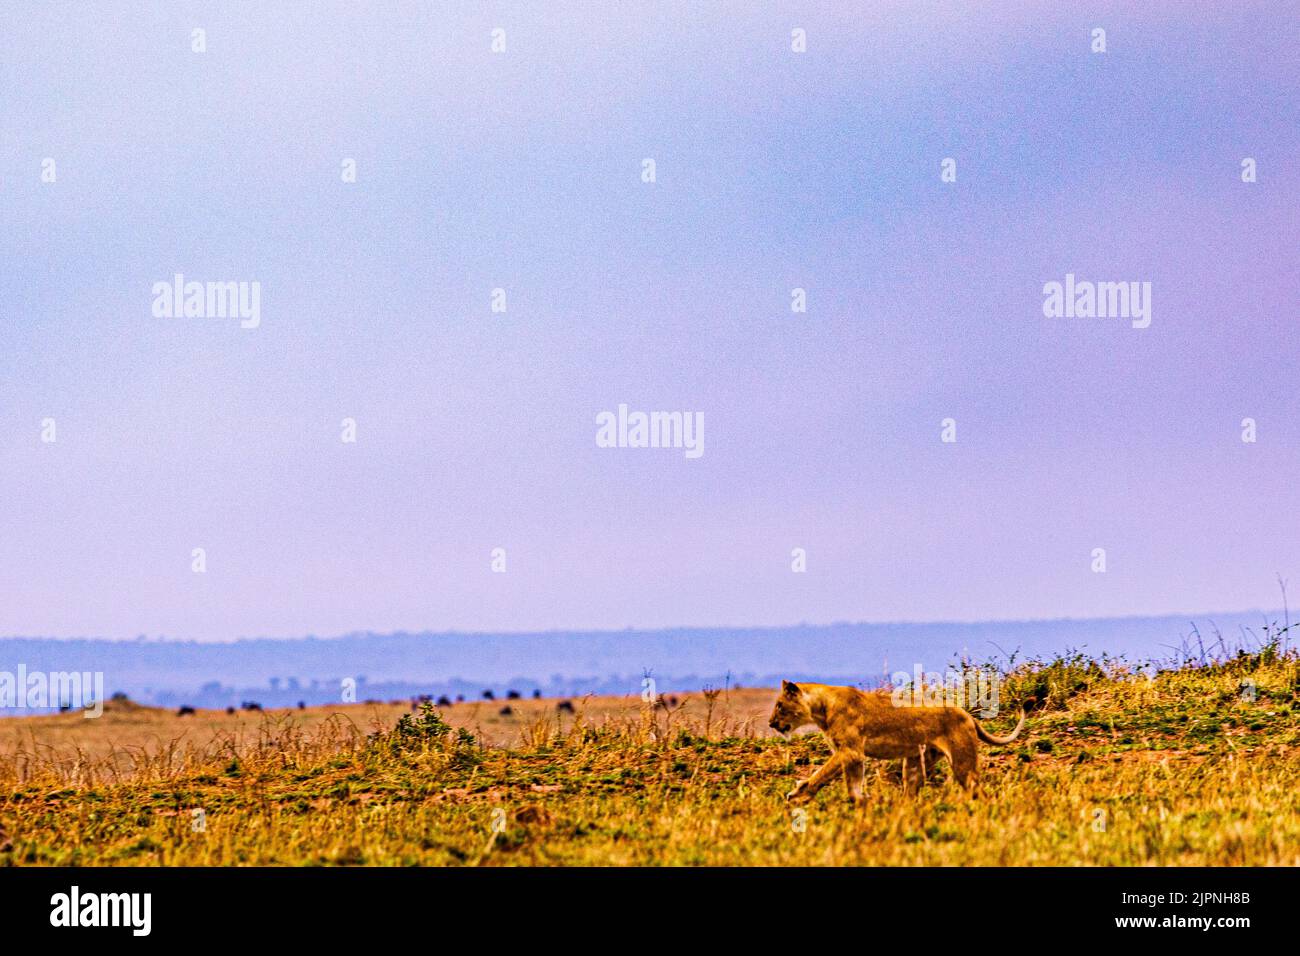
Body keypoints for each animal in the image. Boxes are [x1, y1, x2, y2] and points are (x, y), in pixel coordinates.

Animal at [768, 680, 1025, 803]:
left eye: (780, 705)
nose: (770, 723)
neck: (820, 707)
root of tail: (966, 713)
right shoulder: (851, 756)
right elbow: (851, 785)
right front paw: (864, 802)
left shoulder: (851, 751)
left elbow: (820, 775)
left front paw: (799, 795)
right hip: (916, 760)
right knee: (912, 790)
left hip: (963, 764)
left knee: (977, 790)